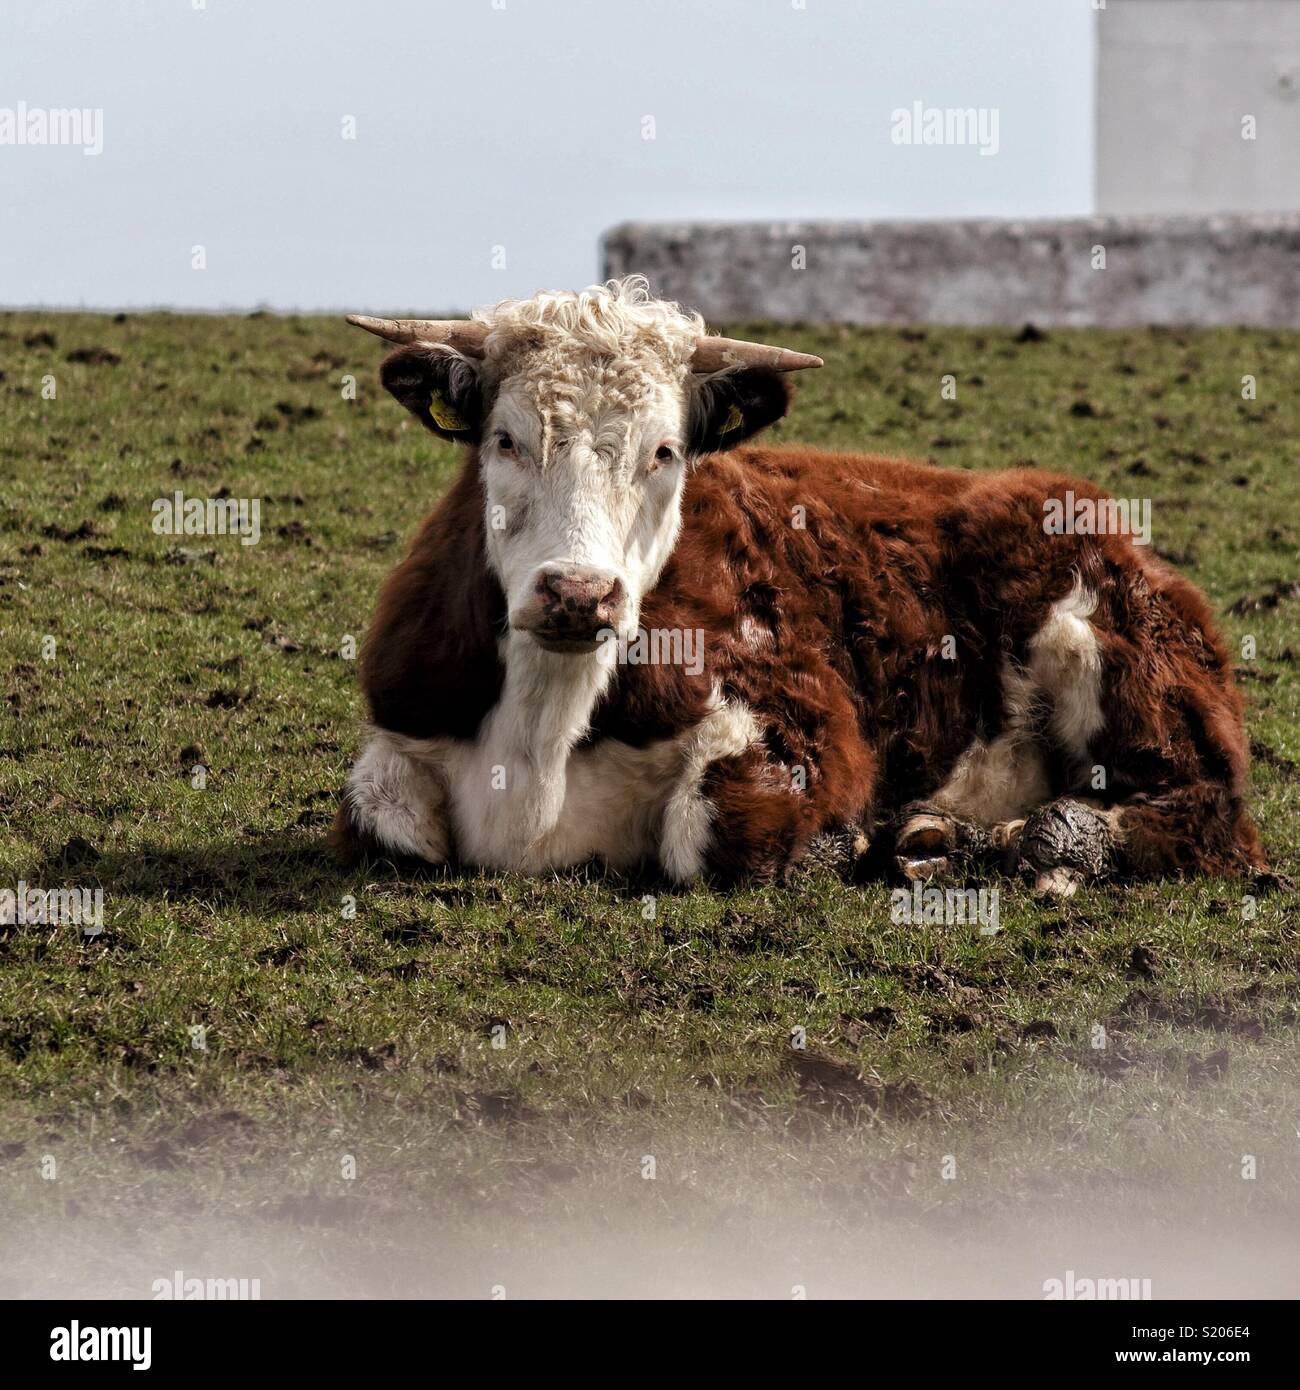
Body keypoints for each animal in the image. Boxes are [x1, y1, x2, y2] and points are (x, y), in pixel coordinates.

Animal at [333, 277, 1267, 896]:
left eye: (665, 450)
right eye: (506, 440)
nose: (578, 593)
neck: (542, 738)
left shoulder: (804, 724)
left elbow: (715, 830)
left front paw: (843, 843)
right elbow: (383, 815)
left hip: (1112, 654)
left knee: (1207, 809)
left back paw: (1040, 840)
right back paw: (938, 835)